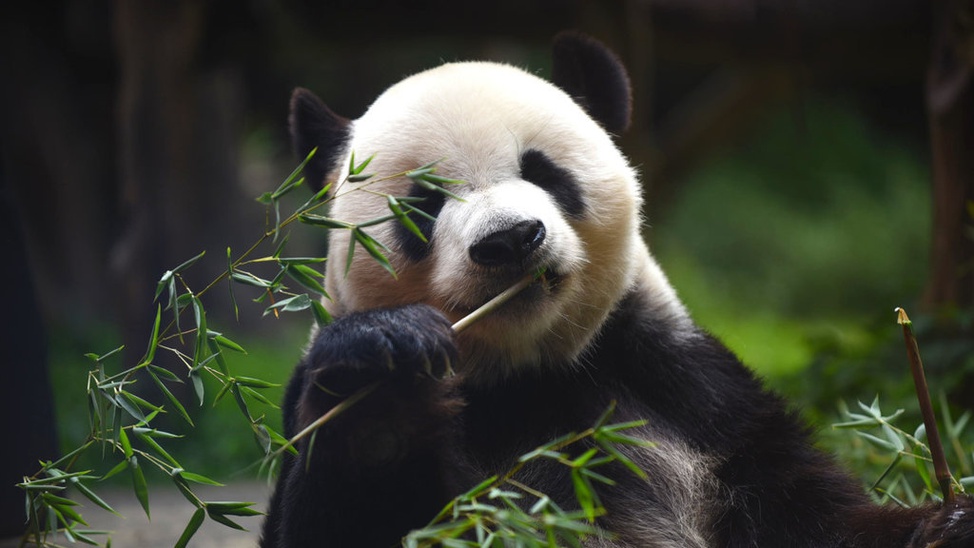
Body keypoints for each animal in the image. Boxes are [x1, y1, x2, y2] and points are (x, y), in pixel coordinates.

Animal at [260, 33, 974, 547]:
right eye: (424, 206)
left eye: (541, 171)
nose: (511, 239)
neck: (531, 372)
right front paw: (386, 367)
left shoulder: (690, 393)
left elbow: (818, 517)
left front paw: (949, 521)